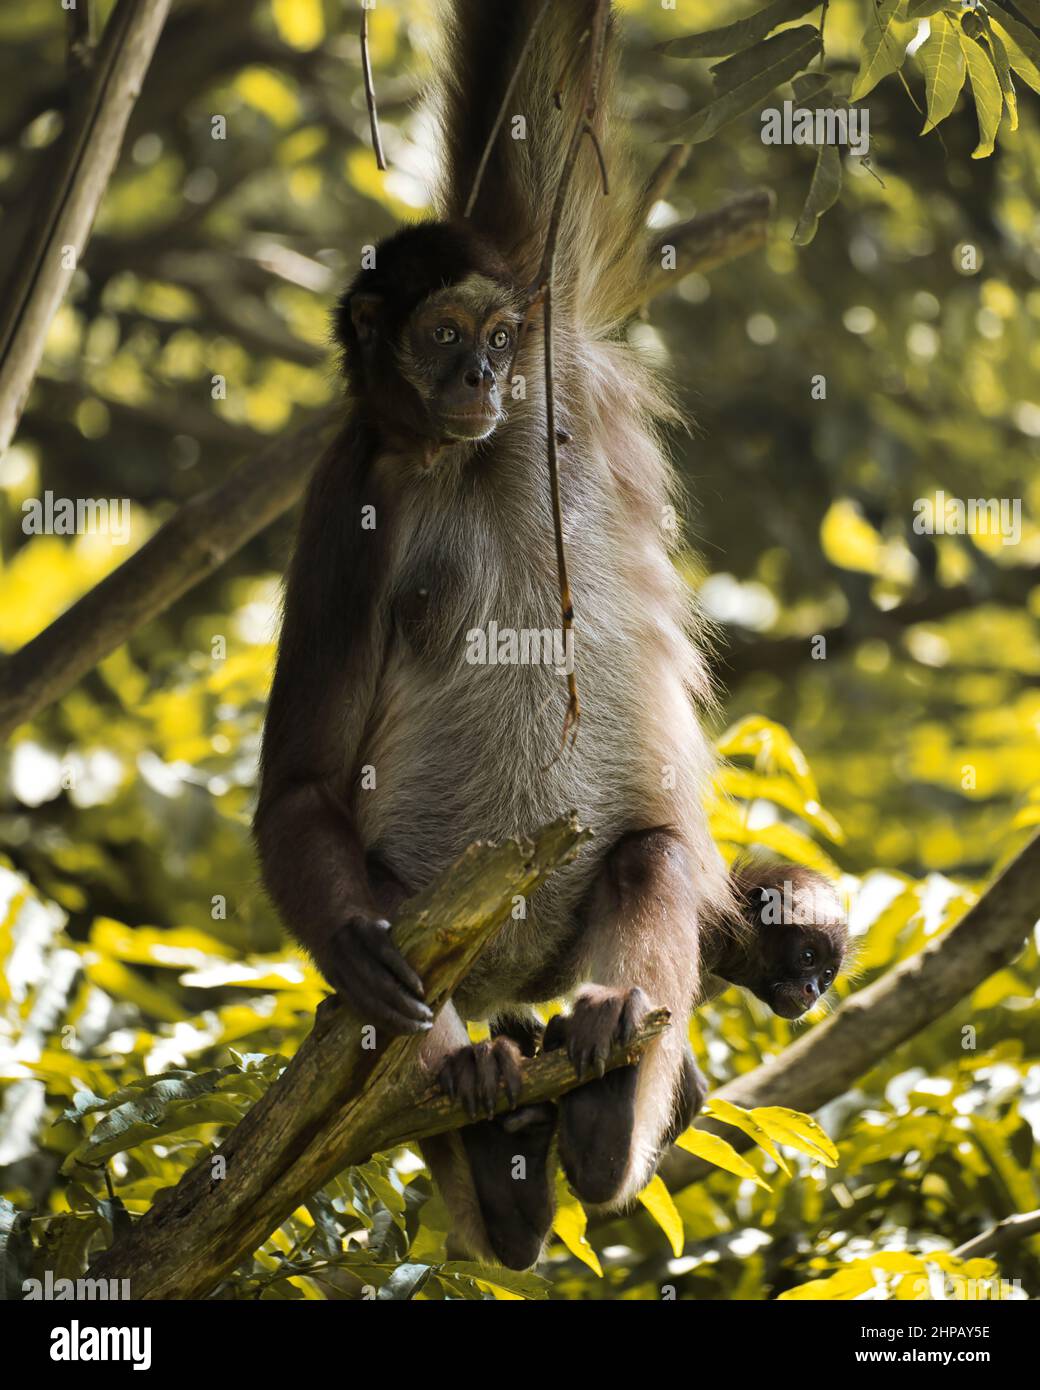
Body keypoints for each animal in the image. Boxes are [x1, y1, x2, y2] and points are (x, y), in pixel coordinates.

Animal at [253, 0, 831, 1271]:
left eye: (492, 333)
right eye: (439, 336)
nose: (479, 370)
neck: (459, 452)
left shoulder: (542, 309)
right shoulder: (345, 487)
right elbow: (301, 792)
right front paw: (362, 954)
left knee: (651, 858)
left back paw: (604, 1109)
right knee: (399, 945)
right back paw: (483, 1130)